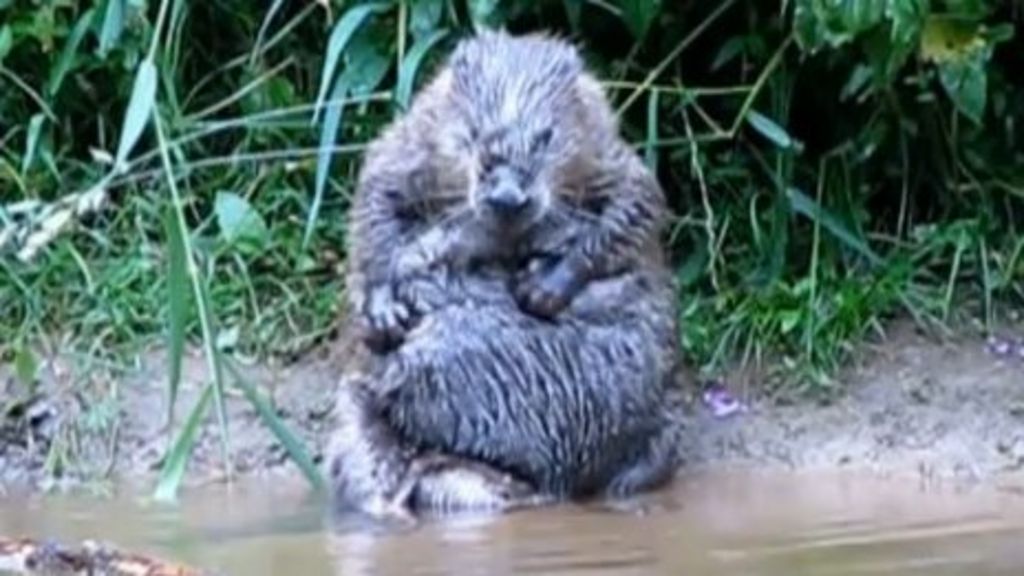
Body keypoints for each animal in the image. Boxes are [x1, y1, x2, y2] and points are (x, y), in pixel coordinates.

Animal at [326, 30, 685, 519]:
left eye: (546, 137)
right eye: (473, 135)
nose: (508, 197)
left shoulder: (607, 153)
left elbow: (637, 203)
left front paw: (541, 284)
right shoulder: (414, 140)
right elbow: (376, 194)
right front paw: (386, 313)